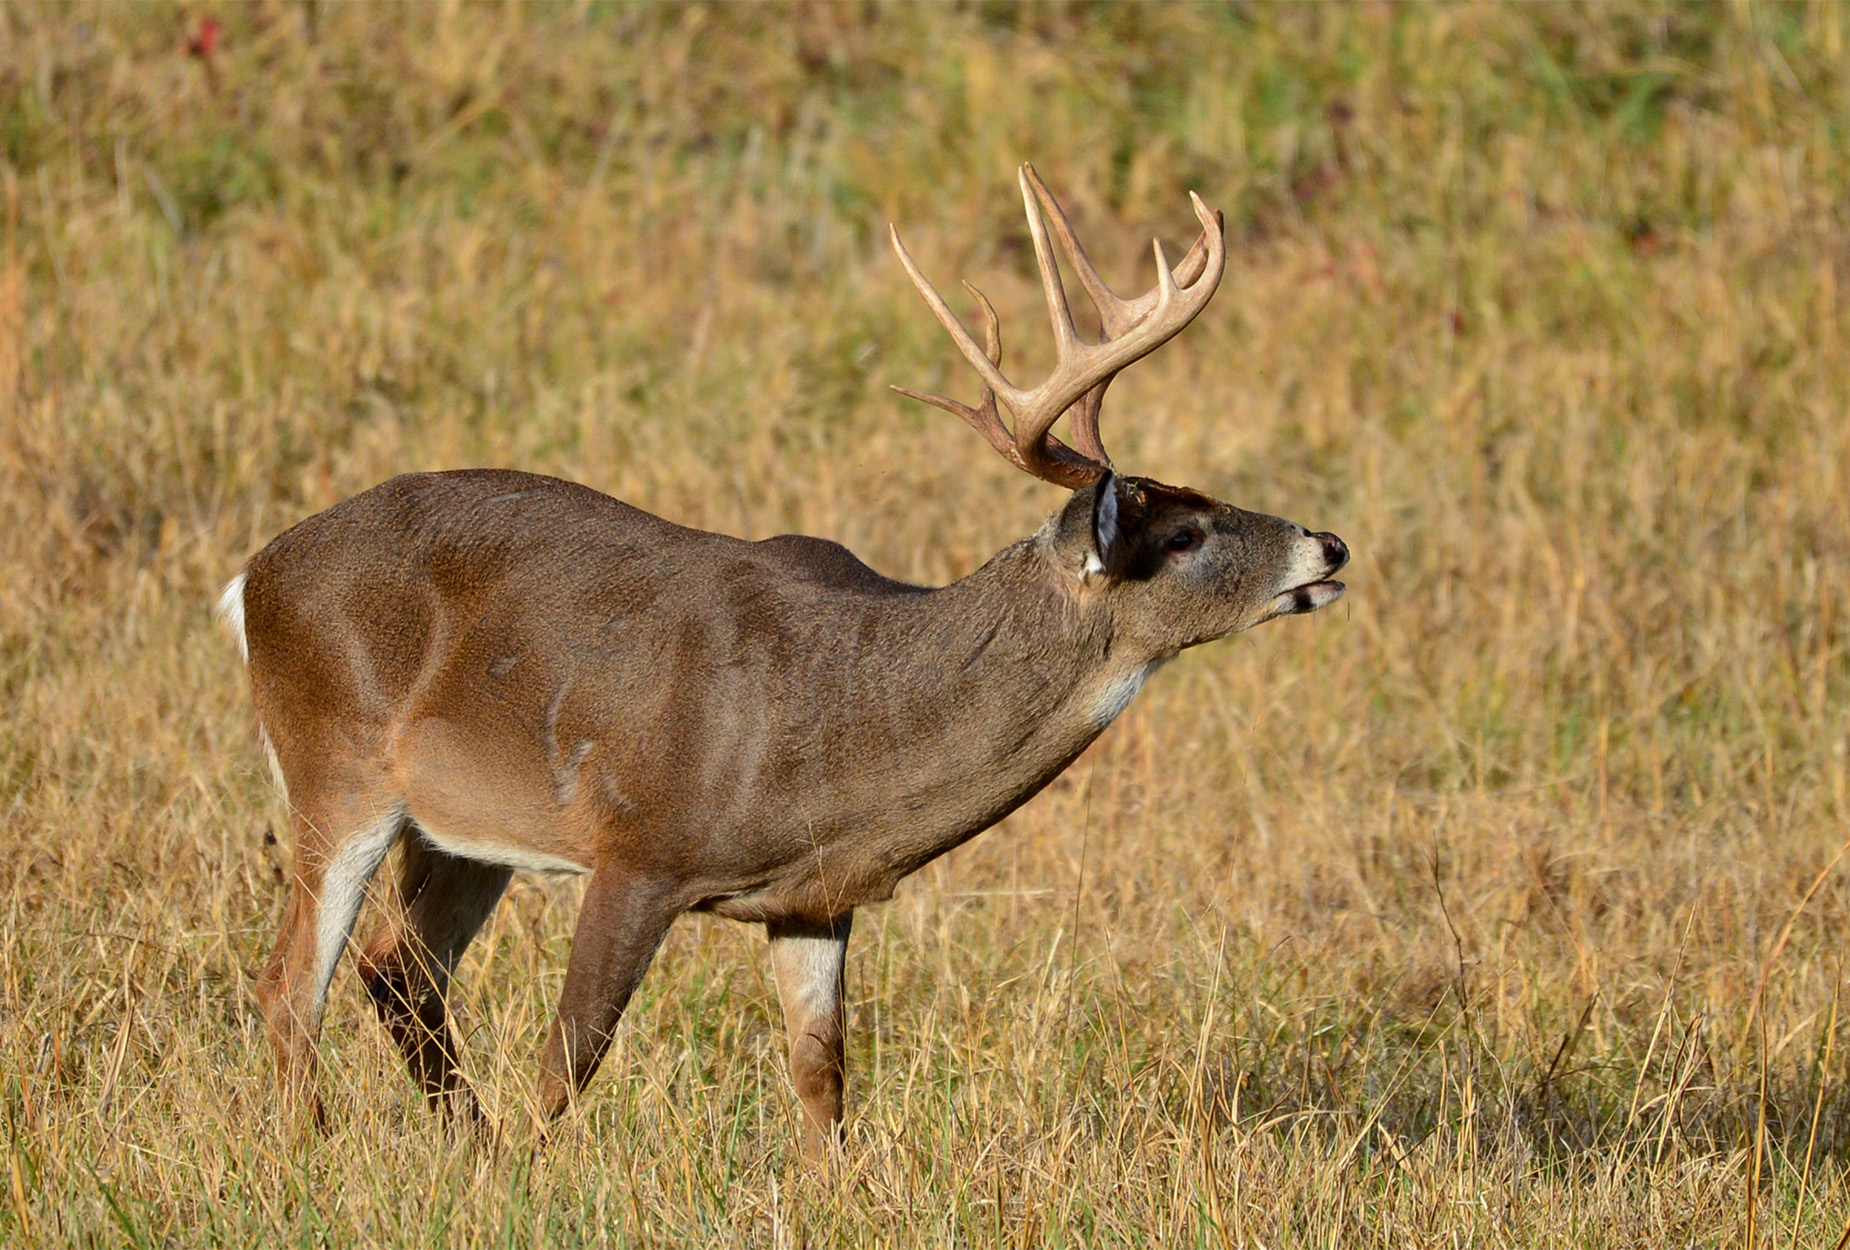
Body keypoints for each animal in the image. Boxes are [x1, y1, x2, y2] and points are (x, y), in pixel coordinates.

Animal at [217, 166, 1349, 1162]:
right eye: (1186, 534)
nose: (1329, 545)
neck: (842, 718)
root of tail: (251, 577)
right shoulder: (641, 846)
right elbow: (569, 1057)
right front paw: (525, 1185)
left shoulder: (812, 898)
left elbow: (821, 1077)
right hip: (334, 765)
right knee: (291, 984)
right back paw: (310, 1155)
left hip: (459, 832)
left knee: (398, 971)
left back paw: (457, 1144)